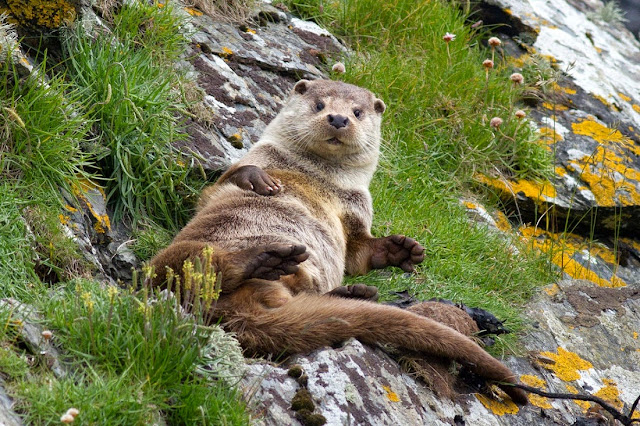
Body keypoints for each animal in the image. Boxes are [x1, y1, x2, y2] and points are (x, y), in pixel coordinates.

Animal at [150, 79, 527, 404]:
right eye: (320, 104)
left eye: (358, 112)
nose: (338, 118)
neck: (319, 179)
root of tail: (234, 314)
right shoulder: (249, 161)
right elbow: (228, 176)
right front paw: (259, 181)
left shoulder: (358, 211)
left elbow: (360, 255)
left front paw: (402, 249)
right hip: (179, 256)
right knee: (189, 270)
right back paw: (262, 257)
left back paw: (350, 292)